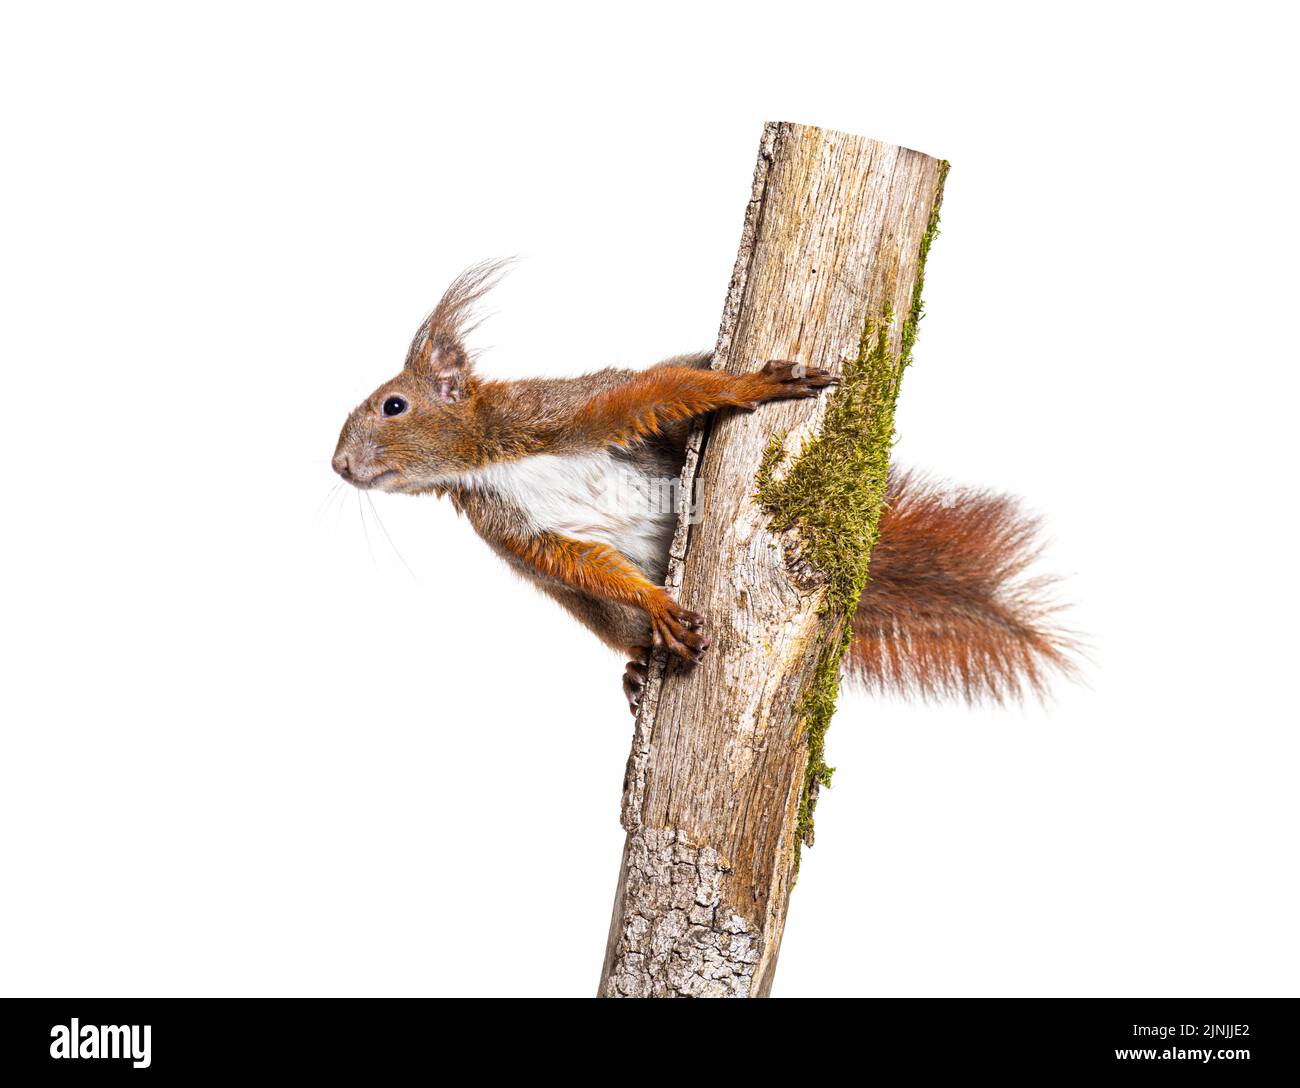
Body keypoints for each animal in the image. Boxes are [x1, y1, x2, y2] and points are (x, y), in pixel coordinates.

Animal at [332, 262, 1077, 712]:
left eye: (394, 406)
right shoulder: (516, 529)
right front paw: (656, 607)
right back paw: (639, 664)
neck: (488, 459)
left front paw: (750, 386)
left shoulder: (563, 413)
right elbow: (582, 564)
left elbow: (659, 392)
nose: (338, 466)